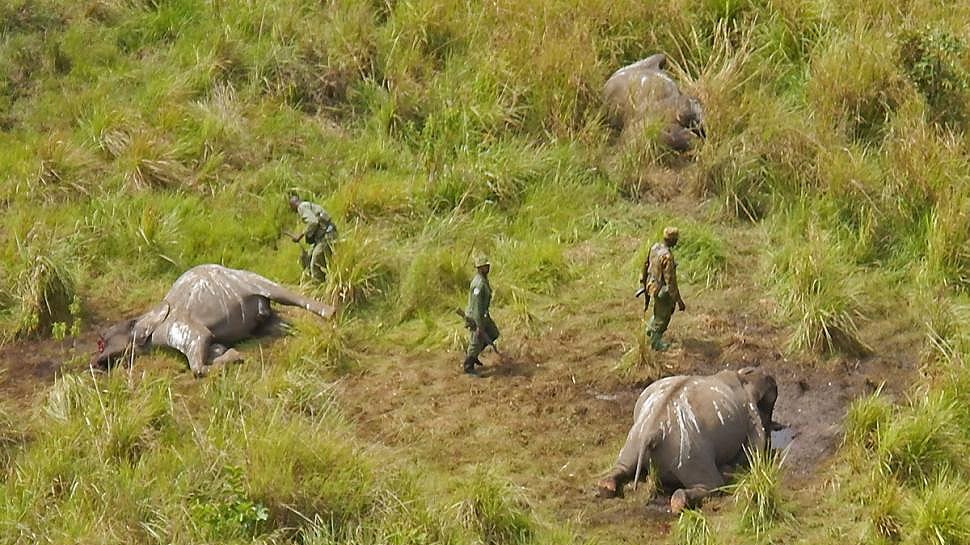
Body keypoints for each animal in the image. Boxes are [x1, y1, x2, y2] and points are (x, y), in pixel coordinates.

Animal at [91, 264, 335, 377]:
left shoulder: (179, 328)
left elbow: (198, 366)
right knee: (281, 325)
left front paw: (235, 357)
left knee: (290, 296)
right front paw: (232, 354)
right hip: (265, 318)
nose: (93, 364)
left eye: (101, 343)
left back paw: (332, 312)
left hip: (257, 281)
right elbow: (214, 349)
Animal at [596, 367, 779, 513]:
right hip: (689, 453)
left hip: (634, 439)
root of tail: (653, 432)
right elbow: (754, 447)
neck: (742, 377)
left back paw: (606, 485)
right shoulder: (750, 411)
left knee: (622, 467)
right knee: (712, 484)